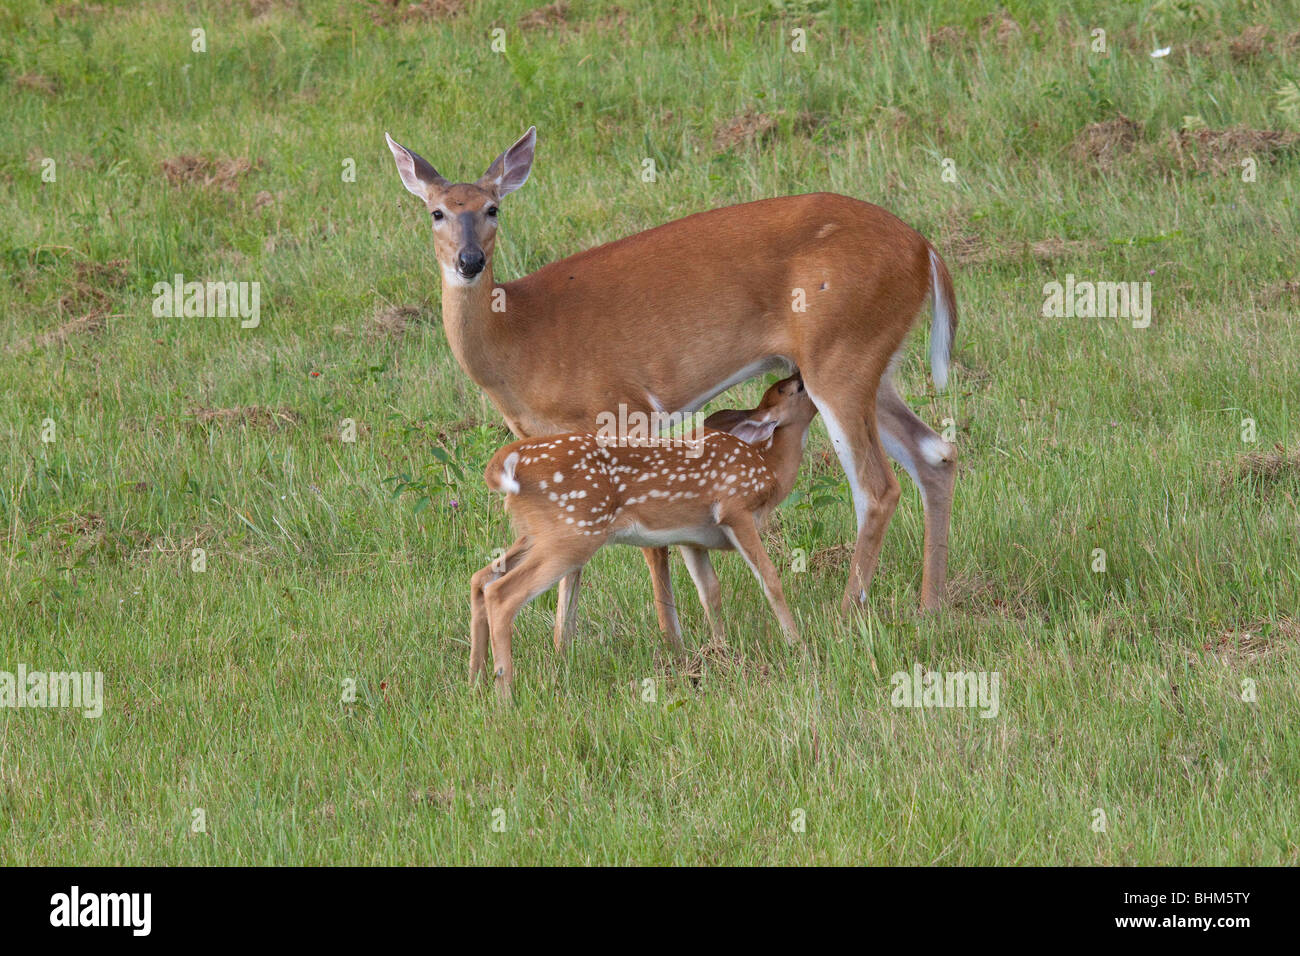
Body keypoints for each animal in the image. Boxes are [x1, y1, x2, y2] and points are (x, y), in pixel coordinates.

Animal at [472, 374, 818, 694]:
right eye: (795, 389)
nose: (800, 374)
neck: (769, 468)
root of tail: (505, 465)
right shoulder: (735, 508)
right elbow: (770, 578)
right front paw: (797, 645)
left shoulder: (691, 538)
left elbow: (710, 591)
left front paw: (720, 651)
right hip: (573, 533)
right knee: (502, 593)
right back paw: (505, 696)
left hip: (538, 533)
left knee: (482, 577)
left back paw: (476, 679)